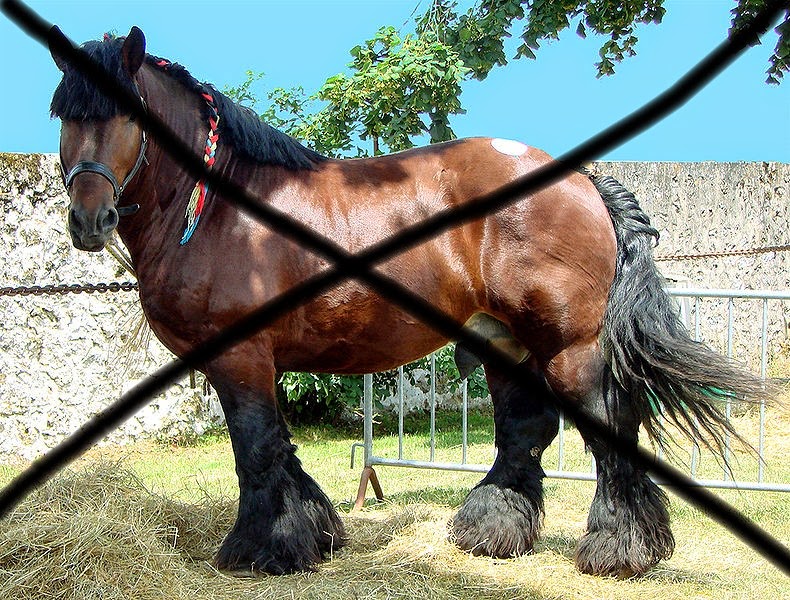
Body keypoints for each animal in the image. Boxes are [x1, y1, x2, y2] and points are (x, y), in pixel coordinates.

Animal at [49, 27, 767, 577]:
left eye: (125, 113)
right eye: (64, 115)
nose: (88, 219)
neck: (223, 208)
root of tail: (582, 179)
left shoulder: (242, 359)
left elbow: (255, 449)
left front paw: (261, 550)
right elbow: (280, 449)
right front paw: (314, 534)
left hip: (569, 348)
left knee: (606, 429)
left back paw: (619, 550)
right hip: (502, 342)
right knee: (525, 433)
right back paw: (491, 531)